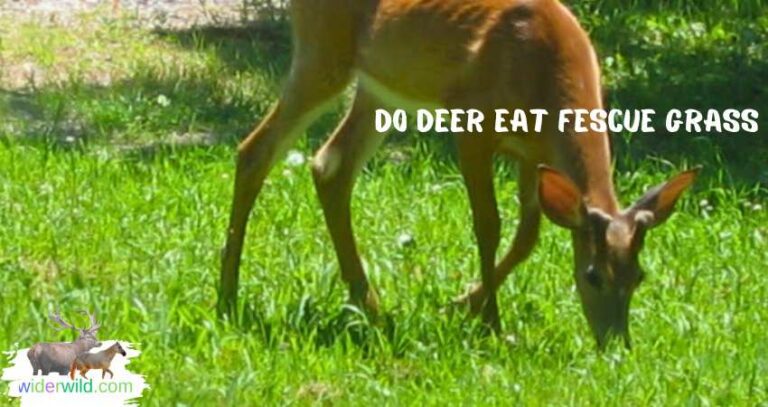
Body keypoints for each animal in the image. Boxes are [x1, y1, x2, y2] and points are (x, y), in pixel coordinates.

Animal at [218, 0, 699, 350]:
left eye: (639, 277)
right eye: (593, 276)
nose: (616, 345)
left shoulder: (532, 153)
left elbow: (527, 238)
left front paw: (459, 304)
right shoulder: (475, 124)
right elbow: (489, 224)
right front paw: (490, 323)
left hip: (379, 88)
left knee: (330, 164)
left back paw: (370, 307)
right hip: (322, 52)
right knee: (255, 150)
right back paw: (228, 296)